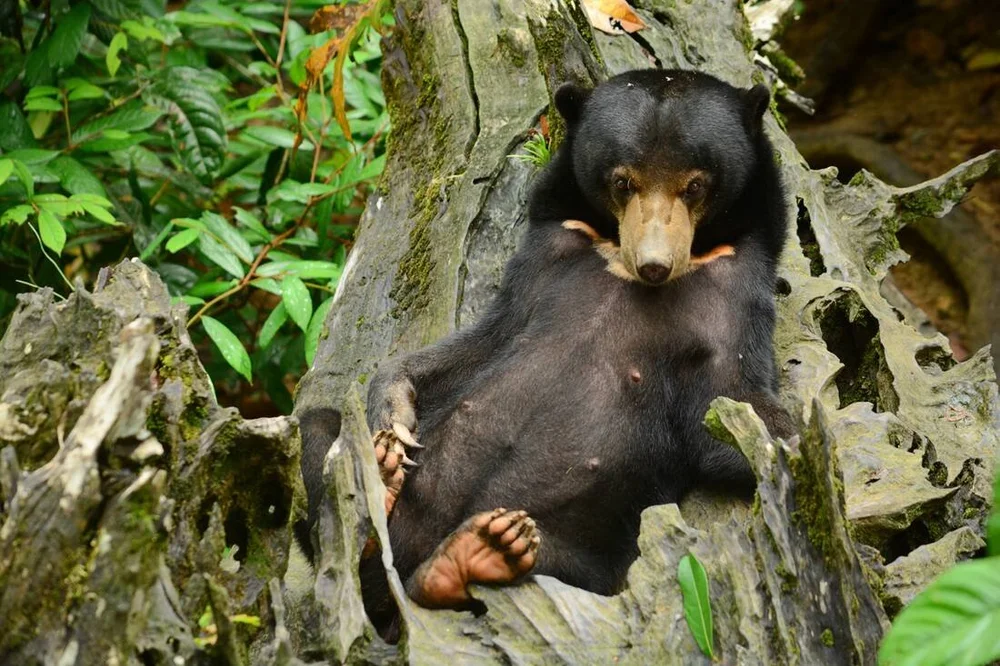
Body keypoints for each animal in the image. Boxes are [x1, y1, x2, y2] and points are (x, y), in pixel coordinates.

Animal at [300, 68, 796, 627]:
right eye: (622, 181)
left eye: (695, 185)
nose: (654, 265)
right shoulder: (551, 250)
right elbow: (484, 341)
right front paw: (395, 418)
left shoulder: (734, 293)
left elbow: (731, 402)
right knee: (318, 431)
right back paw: (378, 483)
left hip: (592, 544)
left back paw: (480, 550)